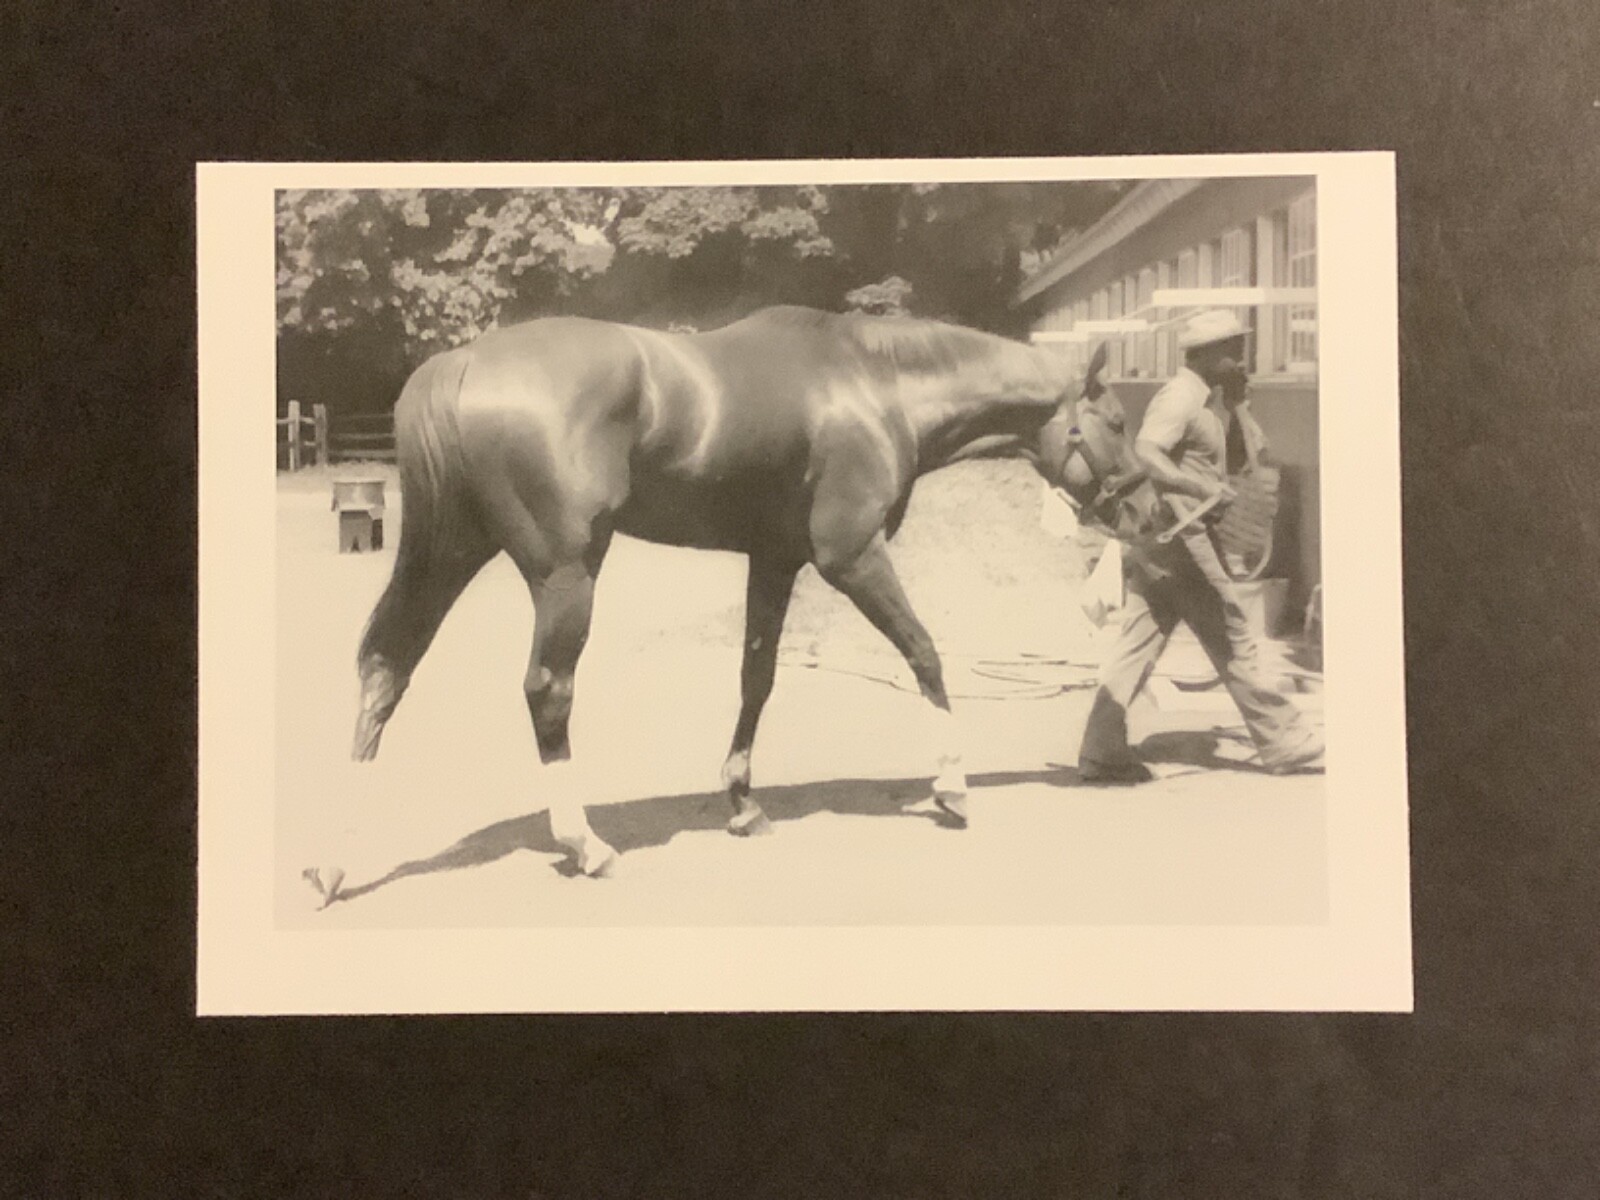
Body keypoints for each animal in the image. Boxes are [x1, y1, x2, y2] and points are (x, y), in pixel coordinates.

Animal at [349, 305, 1157, 878]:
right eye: (1117, 421)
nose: (1146, 509)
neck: (875, 385)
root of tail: (463, 361)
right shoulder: (850, 557)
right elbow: (924, 653)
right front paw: (952, 787)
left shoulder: (775, 561)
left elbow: (757, 677)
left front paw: (742, 803)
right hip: (564, 574)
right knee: (546, 691)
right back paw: (584, 843)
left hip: (450, 553)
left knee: (385, 665)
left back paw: (338, 863)